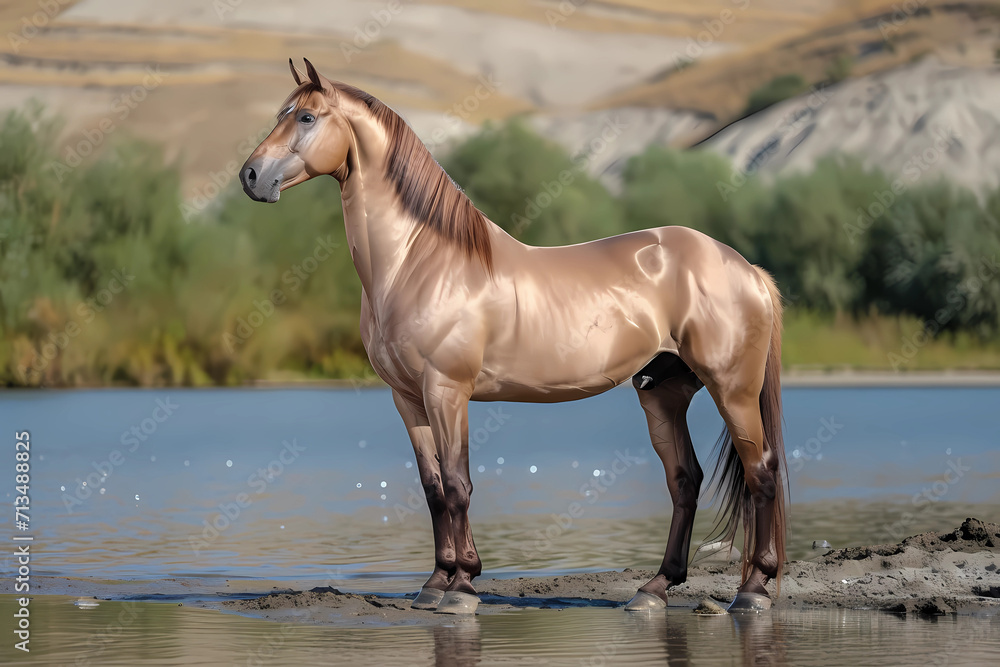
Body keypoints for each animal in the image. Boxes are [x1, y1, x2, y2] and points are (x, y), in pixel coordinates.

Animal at [240, 59, 788, 615]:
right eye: (283, 113)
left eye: (306, 117)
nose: (251, 176)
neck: (417, 263)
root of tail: (745, 268)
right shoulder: (407, 398)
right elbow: (432, 487)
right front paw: (434, 583)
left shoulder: (447, 390)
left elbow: (457, 484)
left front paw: (462, 586)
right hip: (663, 392)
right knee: (685, 480)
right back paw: (654, 589)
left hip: (732, 389)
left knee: (761, 473)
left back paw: (753, 590)